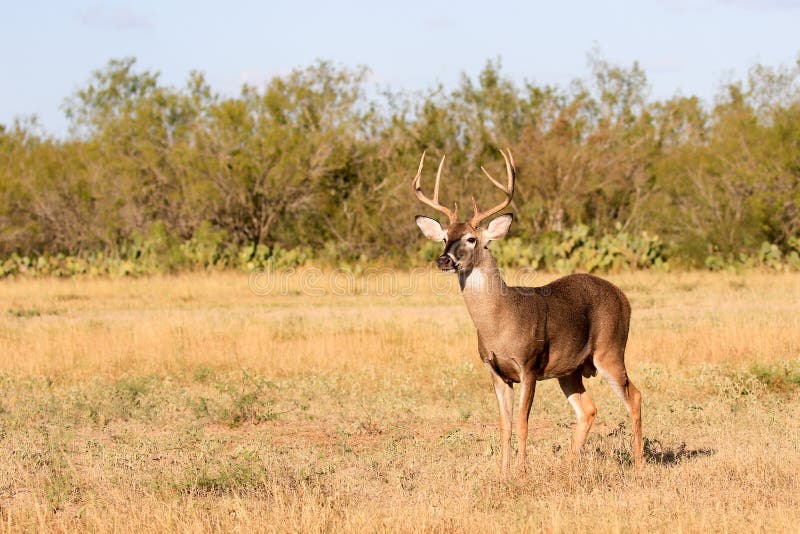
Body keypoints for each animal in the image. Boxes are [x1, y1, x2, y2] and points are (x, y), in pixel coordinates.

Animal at [412, 148, 644, 475]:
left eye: (471, 238)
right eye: (445, 237)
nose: (443, 260)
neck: (500, 321)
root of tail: (625, 299)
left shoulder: (529, 364)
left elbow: (522, 423)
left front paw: (522, 472)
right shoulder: (495, 369)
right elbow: (504, 425)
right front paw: (502, 473)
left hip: (610, 350)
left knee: (634, 396)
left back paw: (639, 463)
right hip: (570, 370)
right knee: (588, 409)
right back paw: (568, 466)